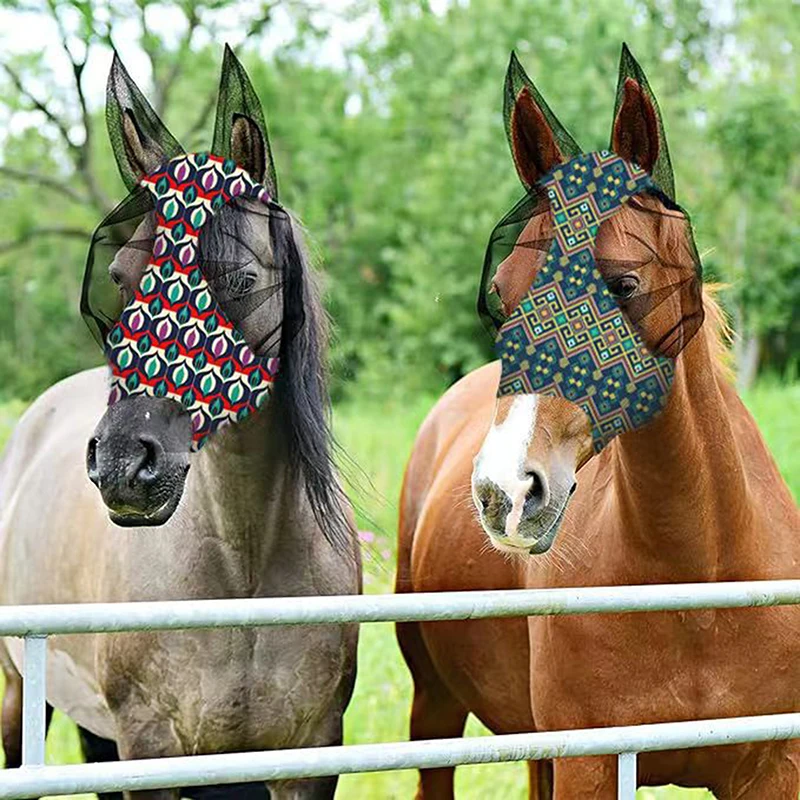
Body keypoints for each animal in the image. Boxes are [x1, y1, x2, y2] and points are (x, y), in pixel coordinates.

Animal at [0, 49, 360, 800]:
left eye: (240, 279)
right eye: (117, 273)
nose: (122, 464)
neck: (243, 570)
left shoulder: (310, 752)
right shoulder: (151, 748)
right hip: (25, 696)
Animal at [396, 50, 800, 799]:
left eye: (624, 284)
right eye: (501, 293)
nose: (503, 492)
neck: (697, 576)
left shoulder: (774, 764)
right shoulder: (590, 761)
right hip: (434, 708)